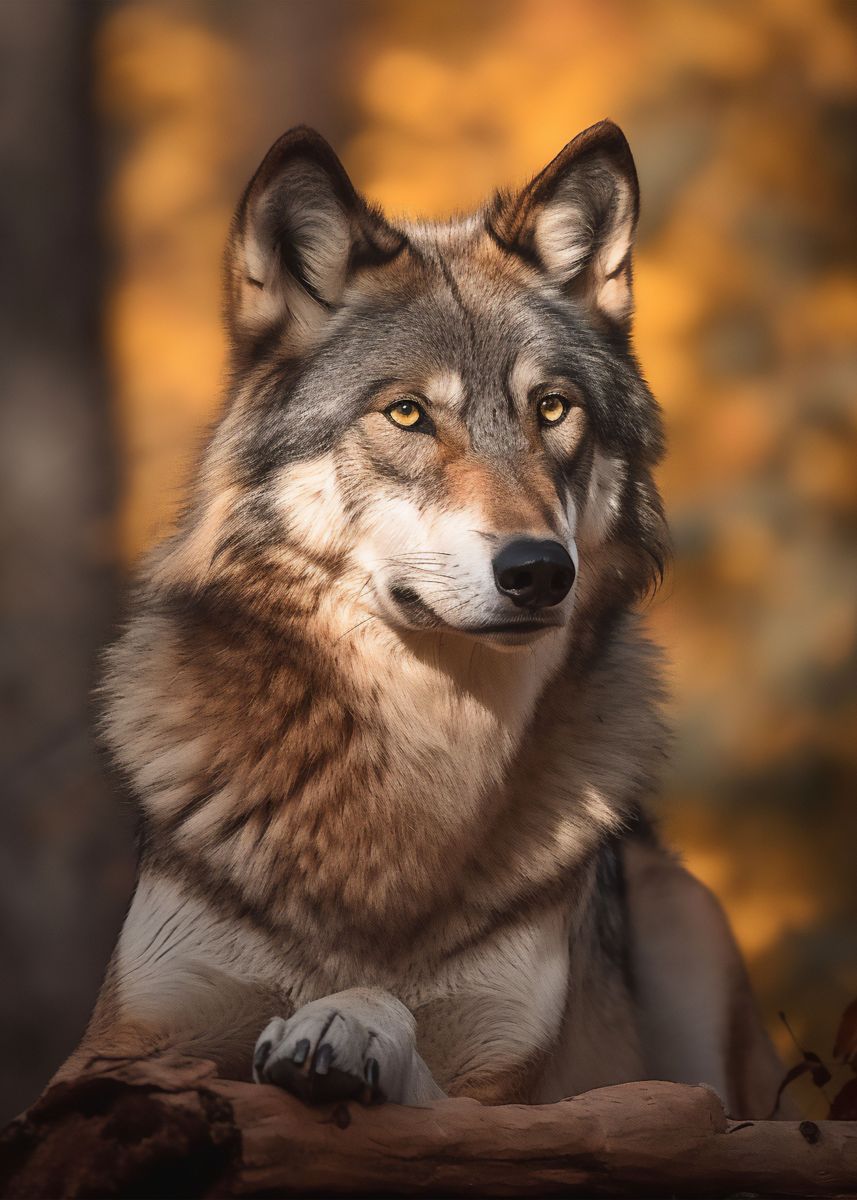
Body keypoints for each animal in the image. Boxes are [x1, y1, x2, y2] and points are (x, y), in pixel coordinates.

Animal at [58, 120, 785, 1117]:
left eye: (551, 409)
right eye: (406, 413)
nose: (538, 572)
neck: (417, 760)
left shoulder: (508, 1089)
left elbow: (407, 1043)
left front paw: (343, 1022)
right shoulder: (109, 1055)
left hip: (687, 923)